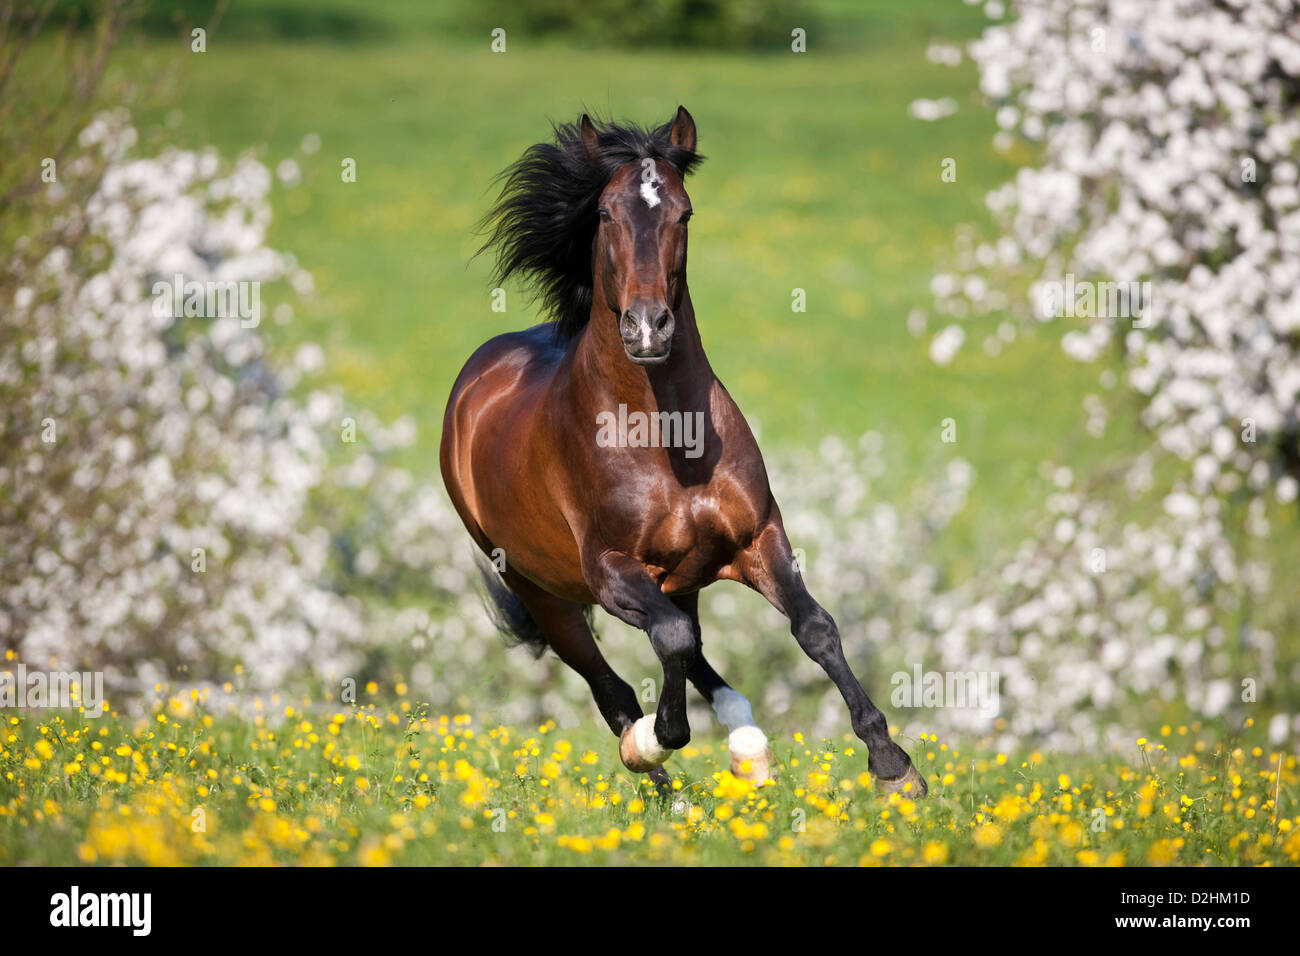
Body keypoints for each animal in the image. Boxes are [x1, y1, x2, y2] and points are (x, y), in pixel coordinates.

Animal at [440, 107, 926, 797]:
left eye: (684, 213)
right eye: (606, 213)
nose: (648, 327)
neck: (668, 437)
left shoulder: (756, 538)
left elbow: (815, 628)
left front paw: (893, 765)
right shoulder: (611, 568)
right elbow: (666, 644)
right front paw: (660, 736)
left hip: (683, 575)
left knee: (690, 643)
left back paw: (748, 747)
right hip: (541, 589)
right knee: (614, 685)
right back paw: (663, 780)